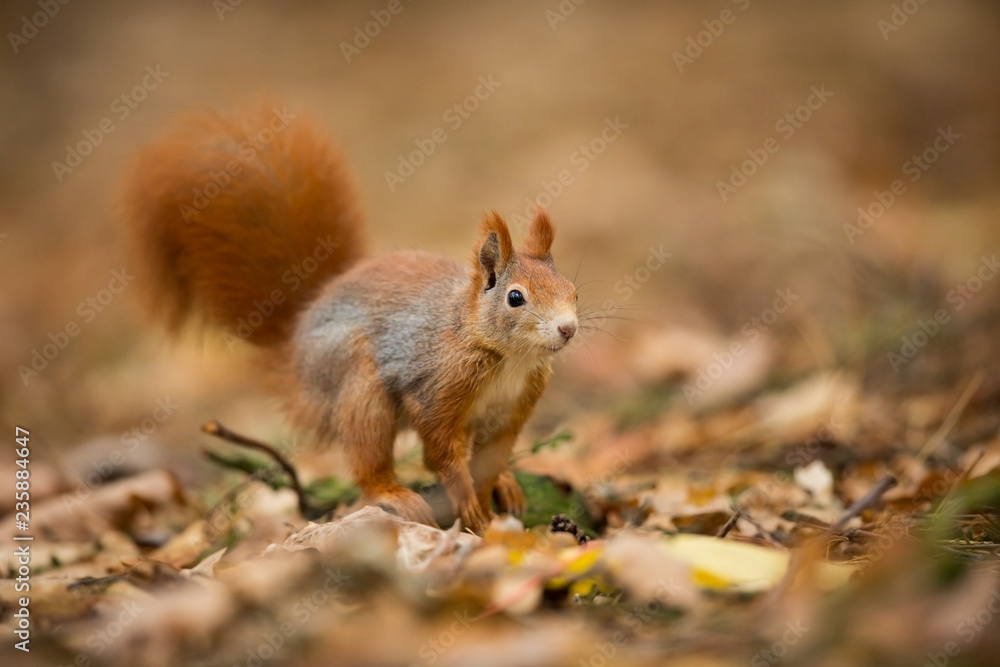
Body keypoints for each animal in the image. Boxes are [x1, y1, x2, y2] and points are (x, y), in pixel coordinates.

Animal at [121, 103, 579, 533]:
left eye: (573, 290)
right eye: (515, 297)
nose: (568, 328)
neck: (504, 354)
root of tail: (297, 343)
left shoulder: (513, 408)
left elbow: (490, 457)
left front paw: (494, 496)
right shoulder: (435, 388)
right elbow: (440, 451)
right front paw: (470, 506)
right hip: (358, 387)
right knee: (368, 460)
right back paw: (393, 494)